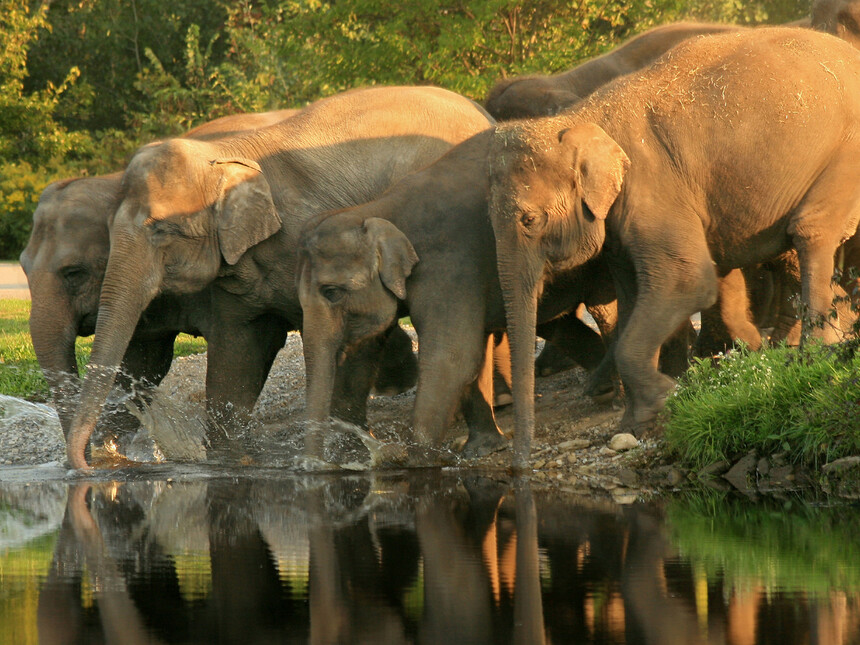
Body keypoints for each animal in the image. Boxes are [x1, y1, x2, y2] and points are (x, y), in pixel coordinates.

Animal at [63, 85, 494, 469]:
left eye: (160, 230)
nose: (88, 466)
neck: (228, 154)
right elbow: (239, 352)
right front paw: (229, 460)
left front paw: (345, 457)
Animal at [297, 128, 621, 458]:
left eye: (331, 292)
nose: (313, 465)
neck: (376, 209)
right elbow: (366, 351)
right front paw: (482, 450)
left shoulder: (450, 265)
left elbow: (452, 357)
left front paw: (414, 458)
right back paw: (603, 386)